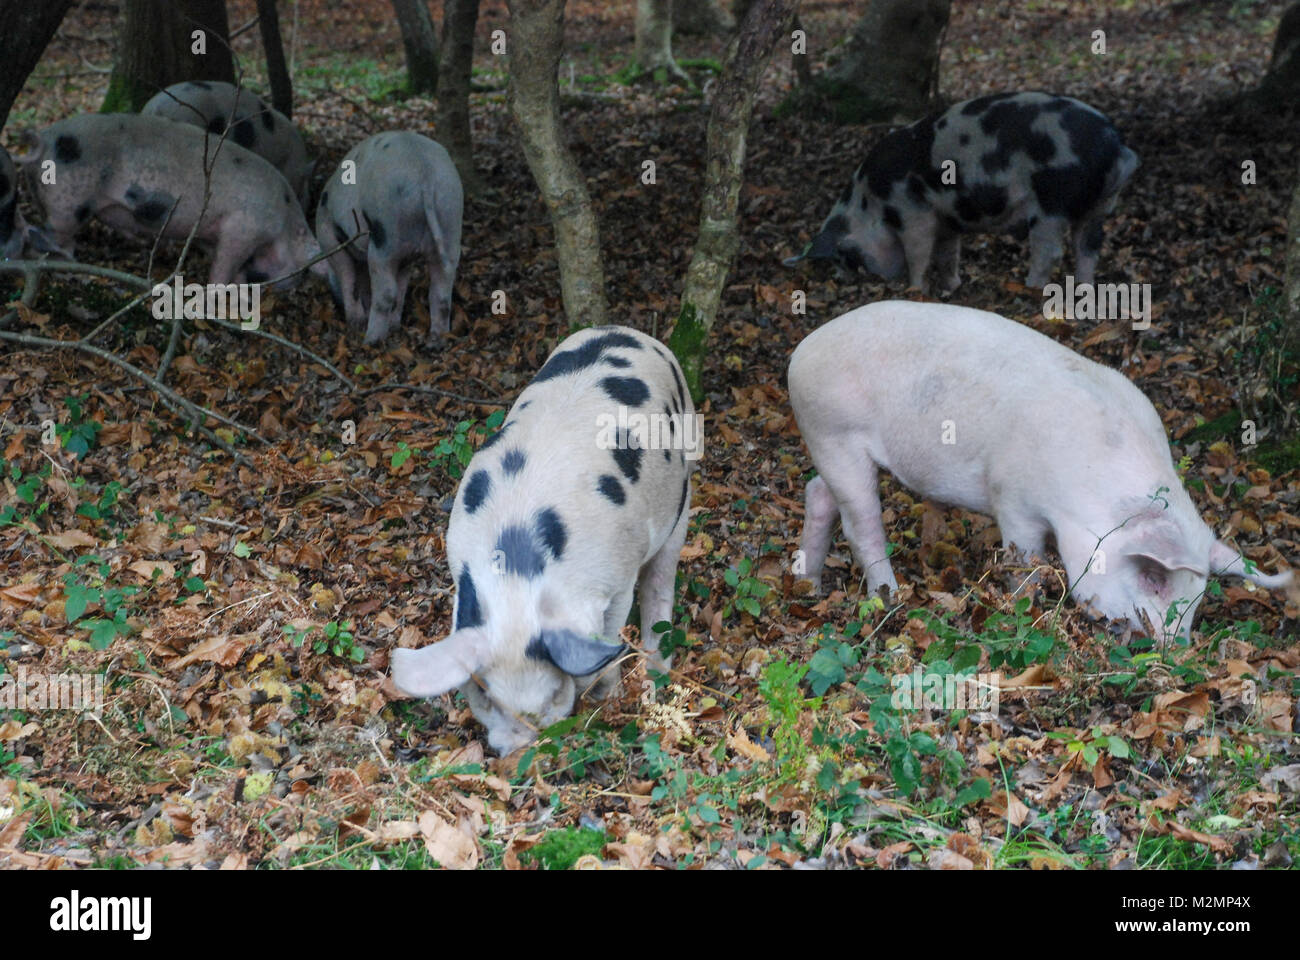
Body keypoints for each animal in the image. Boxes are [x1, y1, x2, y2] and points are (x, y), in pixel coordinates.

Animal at [18, 114, 325, 289]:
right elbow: (225, 262)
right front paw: (219, 290)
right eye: (301, 270)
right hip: (68, 203)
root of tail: (44, 140)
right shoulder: (243, 226)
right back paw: (68, 268)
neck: (284, 219)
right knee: (51, 236)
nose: (288, 288)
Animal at [314, 131, 463, 346]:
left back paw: (370, 341)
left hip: (387, 231)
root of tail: (425, 175)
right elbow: (402, 284)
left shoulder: (331, 238)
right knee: (441, 292)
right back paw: (435, 343)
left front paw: (355, 325)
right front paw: (393, 327)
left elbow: (348, 278)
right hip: (450, 220)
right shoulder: (407, 257)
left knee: (386, 293)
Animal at [390, 326, 697, 753]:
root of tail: (623, 330)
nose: (517, 750)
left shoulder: (618, 576)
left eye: (553, 693)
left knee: (661, 582)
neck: (517, 585)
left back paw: (656, 674)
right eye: (486, 696)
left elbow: (608, 633)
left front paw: (606, 696)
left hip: (685, 479)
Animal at [785, 92, 1139, 295]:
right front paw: (950, 289)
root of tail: (1115, 145)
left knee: (1050, 251)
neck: (870, 202)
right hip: (1100, 206)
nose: (842, 279)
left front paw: (915, 289)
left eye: (843, 256)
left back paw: (1029, 289)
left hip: (1052, 200)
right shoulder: (948, 222)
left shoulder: (913, 213)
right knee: (1088, 247)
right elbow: (947, 254)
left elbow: (918, 253)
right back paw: (1083, 290)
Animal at [788, 301, 1293, 639]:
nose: (1172, 649)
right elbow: (1023, 561)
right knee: (861, 525)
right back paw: (888, 598)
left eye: (1198, 598)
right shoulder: (1011, 498)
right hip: (833, 434)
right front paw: (1023, 609)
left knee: (818, 494)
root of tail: (801, 352)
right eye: (1152, 581)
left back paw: (808, 585)